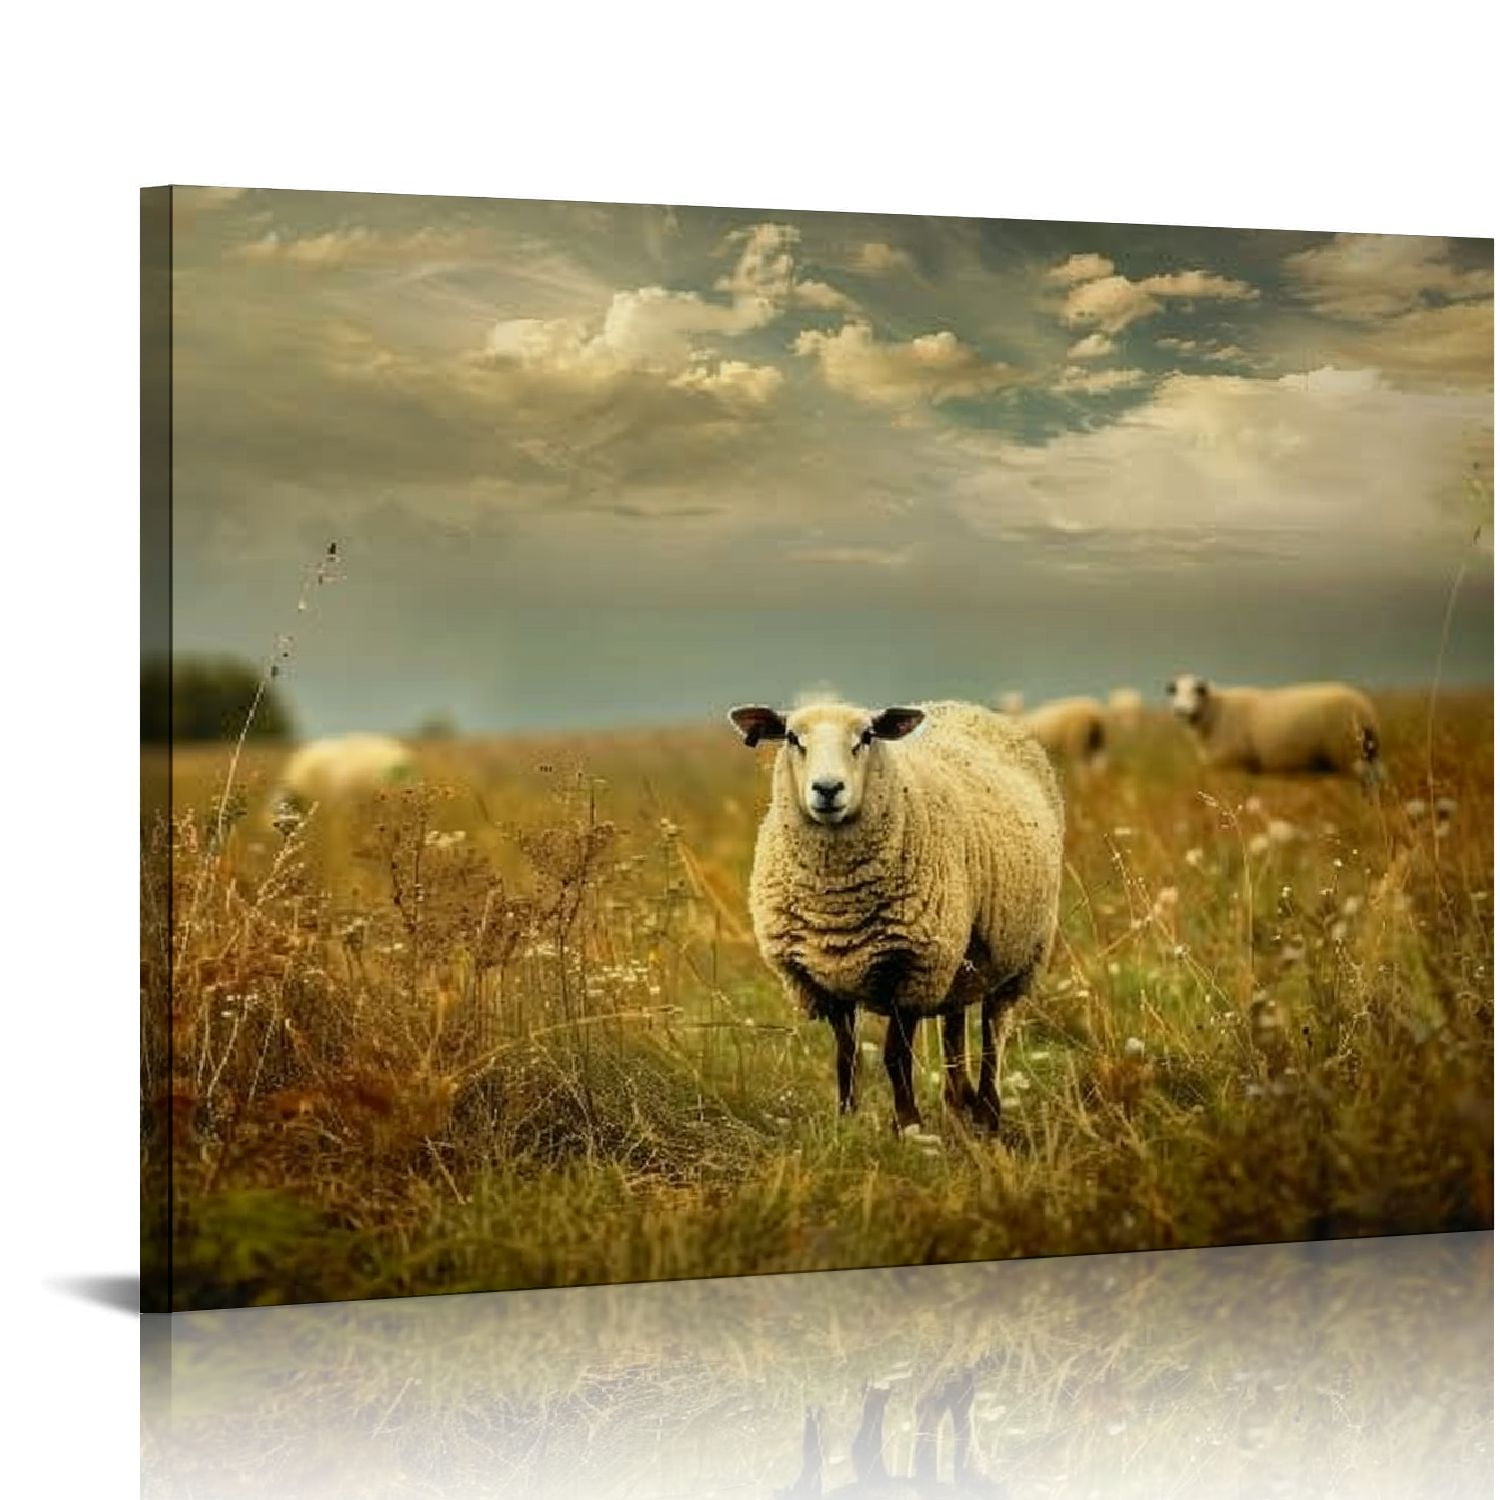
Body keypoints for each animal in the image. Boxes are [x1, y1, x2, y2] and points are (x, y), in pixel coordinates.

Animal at [728, 699, 1064, 1133]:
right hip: (957, 957)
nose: (828, 789)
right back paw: (959, 1102)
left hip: (1019, 954)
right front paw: (847, 1120)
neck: (836, 906)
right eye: (792, 738)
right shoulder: (821, 979)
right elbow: (846, 1055)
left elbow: (894, 1056)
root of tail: (964, 706)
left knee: (994, 1030)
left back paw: (987, 1113)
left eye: (867, 736)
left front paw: (908, 1125)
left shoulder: (911, 966)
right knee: (955, 1024)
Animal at [1166, 675, 1381, 779]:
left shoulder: (1234, 766)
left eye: (1197, 691)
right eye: (1175, 692)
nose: (1180, 710)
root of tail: (1365, 706)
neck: (1216, 711)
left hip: (1347, 753)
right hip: (1365, 753)